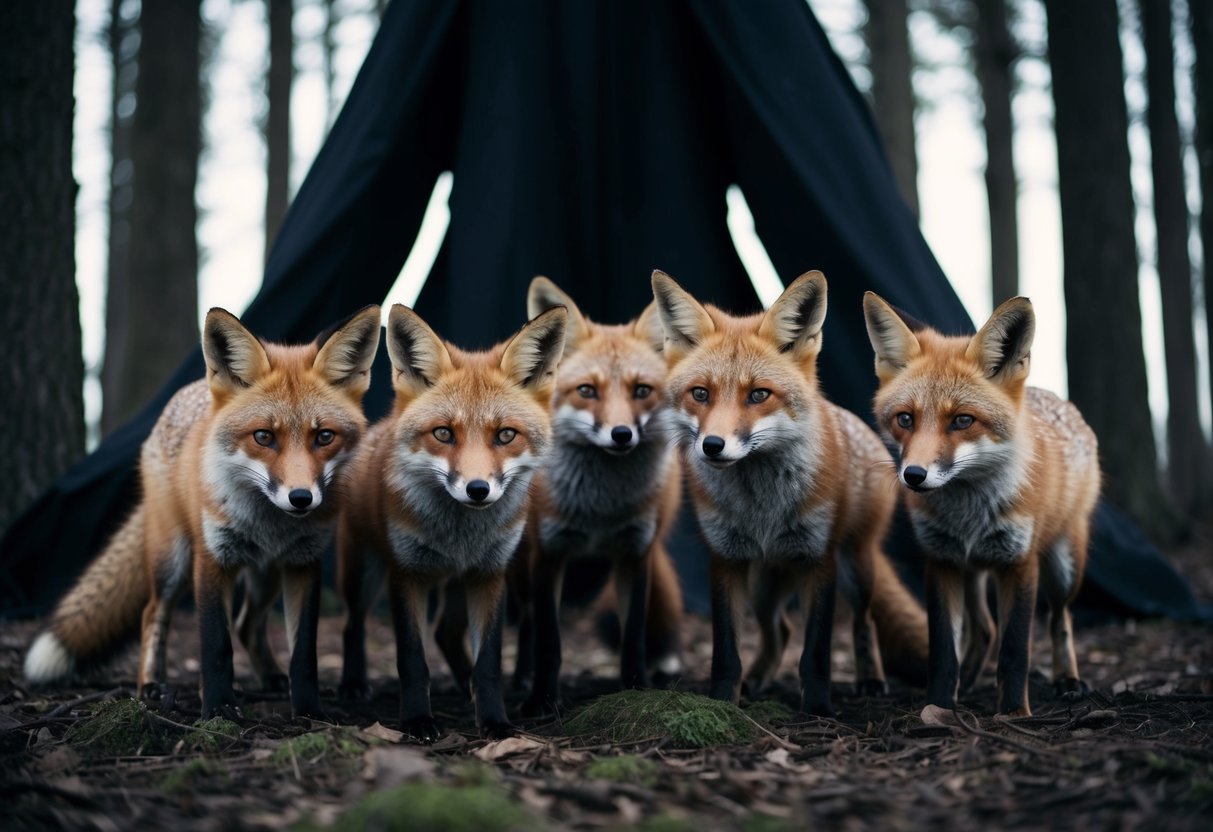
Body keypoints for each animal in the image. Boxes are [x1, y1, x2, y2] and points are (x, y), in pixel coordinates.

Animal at [24, 306, 383, 719]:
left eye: (324, 436)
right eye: (264, 437)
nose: (301, 498)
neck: (268, 524)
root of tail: (184, 395)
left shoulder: (303, 563)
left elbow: (303, 652)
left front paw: (308, 709)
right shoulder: (212, 558)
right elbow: (215, 644)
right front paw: (218, 708)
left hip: (266, 574)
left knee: (247, 624)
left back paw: (271, 677)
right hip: (173, 559)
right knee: (152, 613)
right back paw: (151, 685)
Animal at [337, 303, 567, 742]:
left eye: (505, 435)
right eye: (443, 433)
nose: (478, 490)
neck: (458, 537)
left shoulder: (489, 574)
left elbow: (489, 663)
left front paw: (495, 721)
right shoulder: (405, 573)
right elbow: (412, 659)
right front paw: (417, 721)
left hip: (461, 584)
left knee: (445, 632)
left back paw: (464, 685)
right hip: (364, 573)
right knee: (351, 625)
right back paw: (353, 683)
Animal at [514, 277, 684, 716]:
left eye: (641, 390)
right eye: (587, 390)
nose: (621, 434)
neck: (600, 509)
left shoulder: (636, 553)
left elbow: (633, 638)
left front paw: (638, 690)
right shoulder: (548, 554)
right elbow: (549, 643)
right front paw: (541, 700)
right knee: (525, 624)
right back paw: (521, 680)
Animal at [652, 270, 928, 716]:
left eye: (758, 394)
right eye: (700, 394)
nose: (712, 446)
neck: (761, 506)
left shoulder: (819, 559)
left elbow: (815, 652)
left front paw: (816, 708)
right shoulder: (726, 559)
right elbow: (726, 652)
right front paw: (724, 701)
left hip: (855, 566)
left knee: (863, 621)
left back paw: (870, 679)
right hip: (766, 585)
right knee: (778, 630)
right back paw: (757, 680)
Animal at [863, 293, 1100, 716]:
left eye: (962, 421)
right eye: (905, 419)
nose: (914, 476)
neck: (969, 514)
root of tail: (1058, 399)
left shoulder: (1020, 563)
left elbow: (1015, 650)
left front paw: (1014, 713)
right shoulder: (941, 560)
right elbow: (944, 651)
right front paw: (938, 707)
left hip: (1064, 566)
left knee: (1060, 620)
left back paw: (1068, 680)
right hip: (971, 570)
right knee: (984, 629)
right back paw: (970, 681)